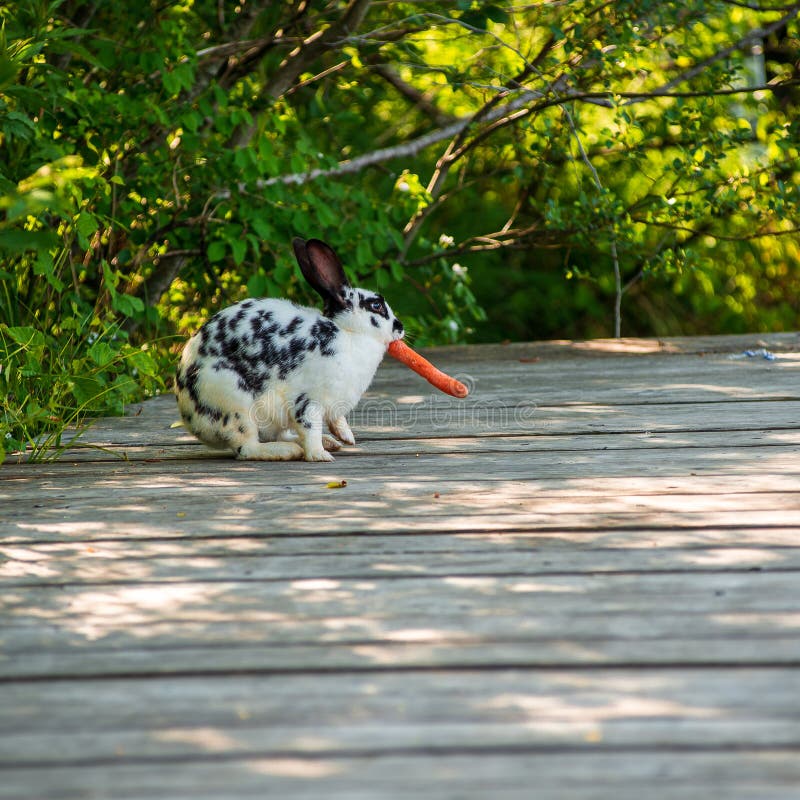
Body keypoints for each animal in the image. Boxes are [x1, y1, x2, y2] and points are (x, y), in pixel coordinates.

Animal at [175, 237, 405, 461]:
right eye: (376, 306)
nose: (400, 328)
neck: (349, 333)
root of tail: (189, 416)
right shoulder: (308, 402)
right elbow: (310, 430)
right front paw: (319, 455)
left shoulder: (334, 404)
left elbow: (337, 420)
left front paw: (346, 436)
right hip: (236, 405)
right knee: (247, 448)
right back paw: (289, 451)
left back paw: (327, 442)